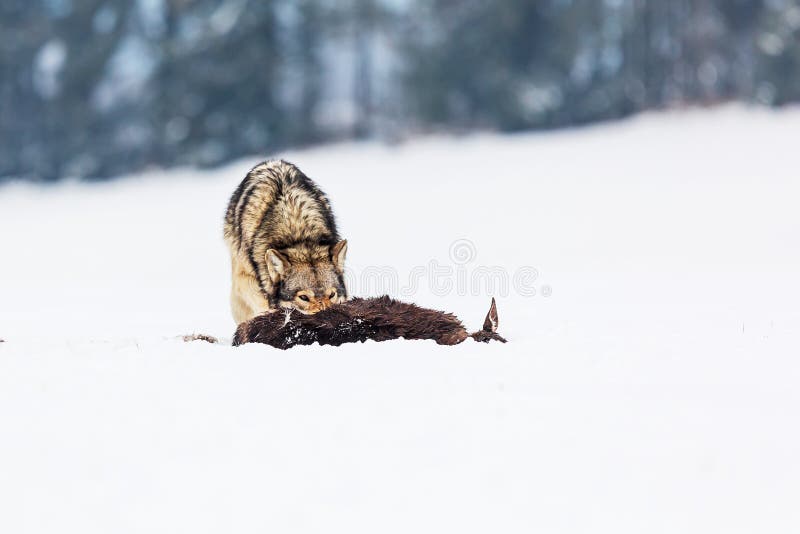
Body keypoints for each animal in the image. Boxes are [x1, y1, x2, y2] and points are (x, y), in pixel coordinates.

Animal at [223, 160, 348, 324]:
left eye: (332, 295)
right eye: (303, 297)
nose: (327, 318)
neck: (299, 233)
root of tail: (272, 161)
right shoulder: (247, 279)